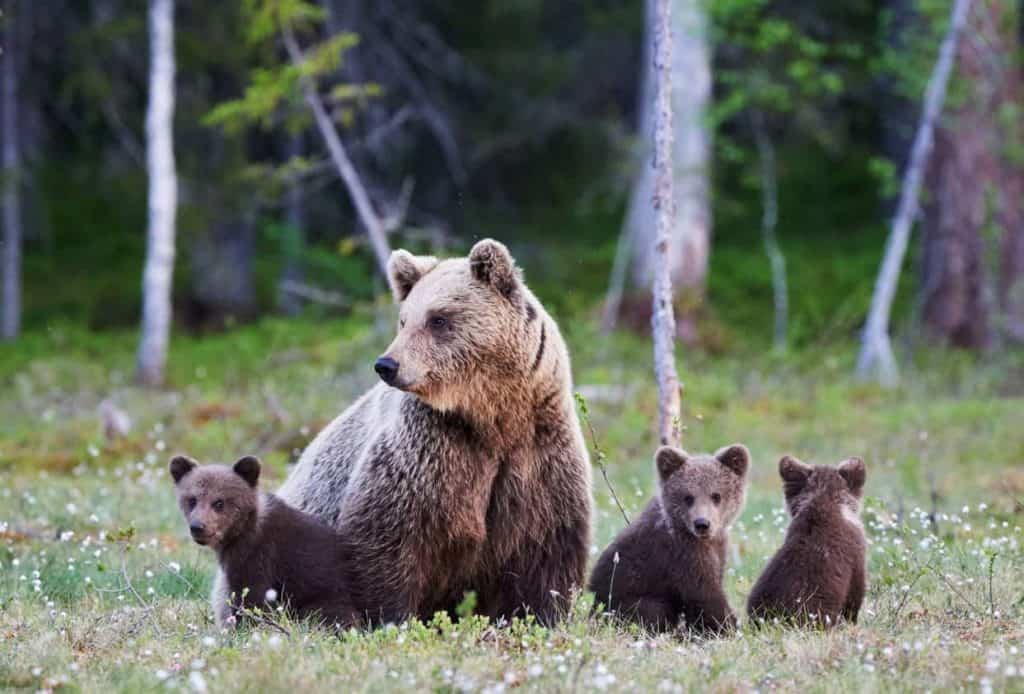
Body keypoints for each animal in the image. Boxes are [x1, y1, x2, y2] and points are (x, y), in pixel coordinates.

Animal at [254, 239, 593, 627]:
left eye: (438, 318)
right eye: (404, 319)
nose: (387, 364)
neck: (492, 416)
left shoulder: (538, 454)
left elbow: (546, 550)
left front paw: (540, 615)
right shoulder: (429, 452)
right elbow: (388, 540)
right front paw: (390, 618)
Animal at [588, 444, 750, 635]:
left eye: (716, 495)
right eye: (688, 497)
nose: (702, 523)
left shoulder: (717, 548)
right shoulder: (682, 555)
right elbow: (705, 596)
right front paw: (731, 627)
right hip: (626, 599)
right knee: (653, 611)